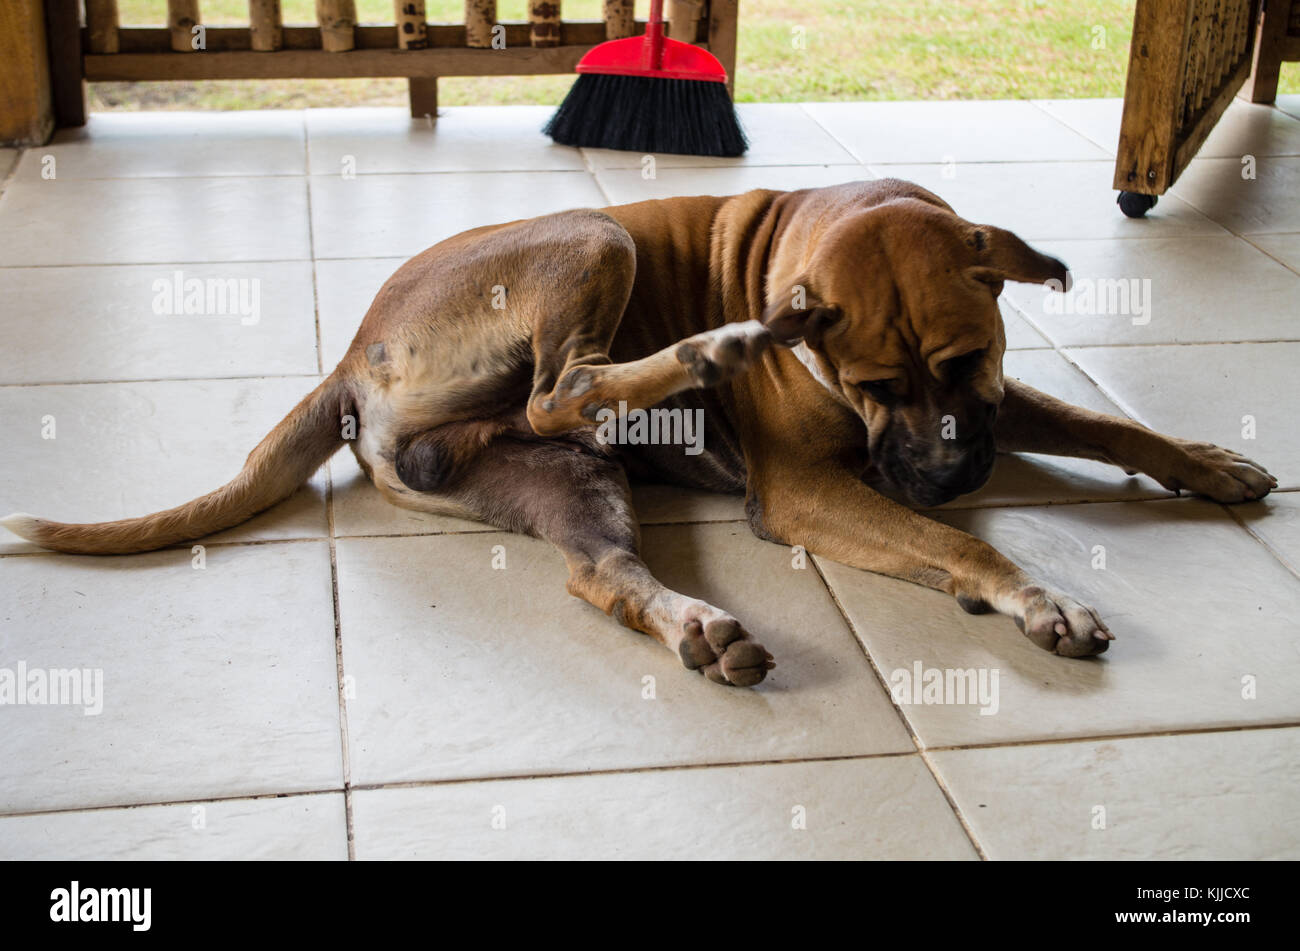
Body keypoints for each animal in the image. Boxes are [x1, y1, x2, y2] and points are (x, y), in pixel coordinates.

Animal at [2, 177, 1279, 685]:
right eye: (873, 384)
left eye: (967, 360)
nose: (949, 472)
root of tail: (351, 355)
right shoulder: (815, 493)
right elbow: (965, 549)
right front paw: (1030, 592)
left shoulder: (1004, 403)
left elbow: (1112, 426)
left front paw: (1203, 464)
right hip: (588, 237)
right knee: (558, 384)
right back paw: (707, 347)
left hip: (566, 483)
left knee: (599, 570)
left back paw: (694, 625)